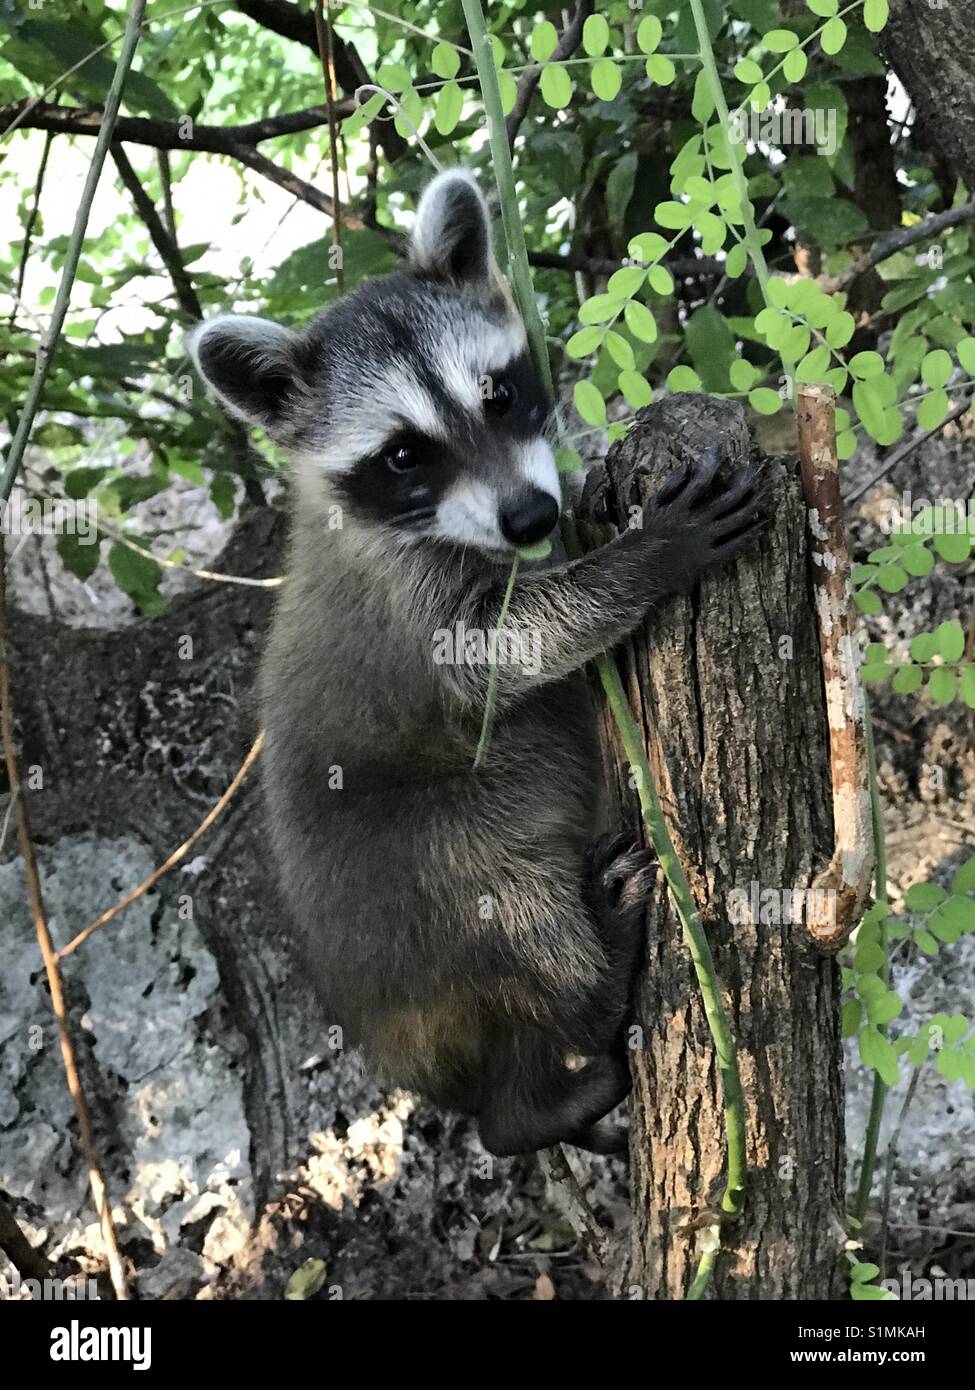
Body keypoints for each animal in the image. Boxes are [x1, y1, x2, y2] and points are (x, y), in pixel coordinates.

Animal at [187, 170, 765, 1156]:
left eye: (498, 395)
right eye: (403, 452)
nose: (532, 517)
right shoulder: (408, 600)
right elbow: (506, 645)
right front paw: (643, 560)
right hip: (428, 863)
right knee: (513, 911)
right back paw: (584, 1000)